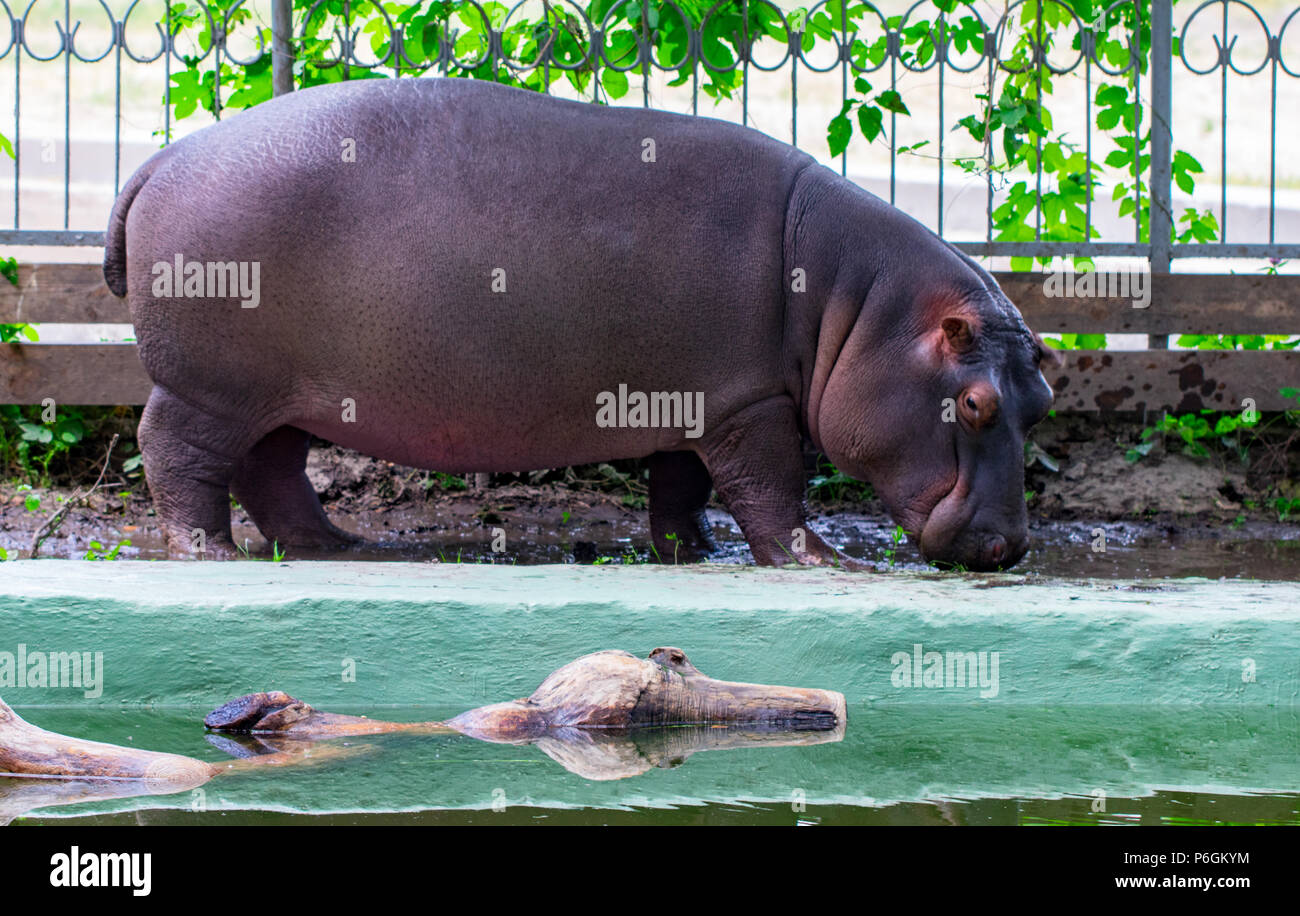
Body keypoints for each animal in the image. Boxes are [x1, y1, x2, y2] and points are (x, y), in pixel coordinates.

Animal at [104, 77, 1056, 570]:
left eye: (1042, 399)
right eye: (974, 405)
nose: (1011, 546)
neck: (854, 303)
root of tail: (164, 156)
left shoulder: (699, 396)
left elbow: (682, 485)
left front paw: (691, 555)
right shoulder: (748, 403)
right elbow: (771, 487)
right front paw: (822, 560)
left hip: (287, 392)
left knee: (272, 467)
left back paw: (333, 543)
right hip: (210, 387)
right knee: (178, 453)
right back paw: (211, 553)